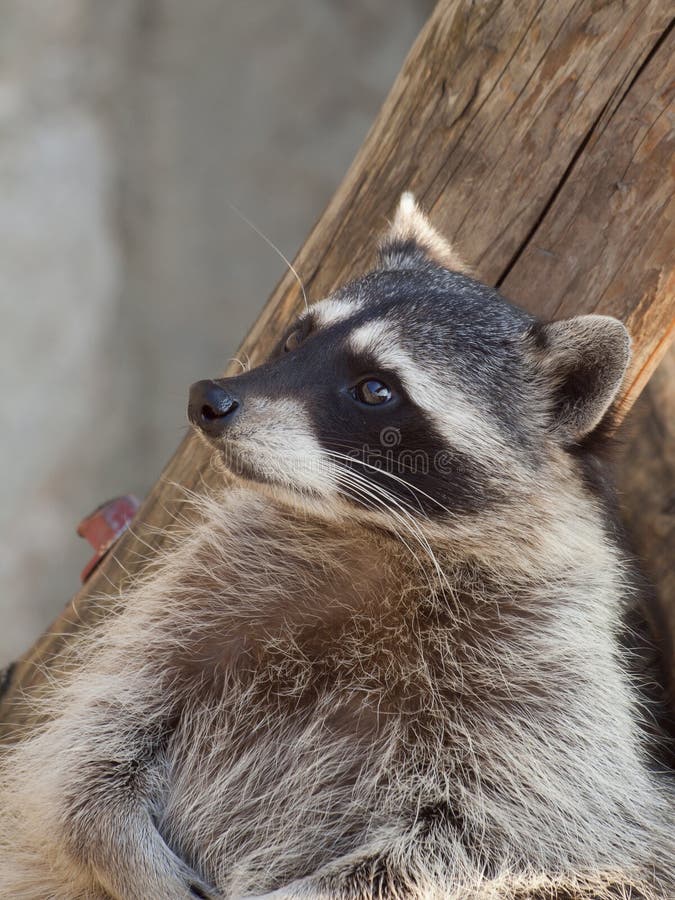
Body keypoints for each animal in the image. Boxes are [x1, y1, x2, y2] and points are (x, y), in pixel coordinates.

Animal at [0, 194, 673, 899]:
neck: (376, 536)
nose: (207, 398)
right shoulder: (200, 591)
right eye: (298, 337)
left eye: (376, 389)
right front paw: (108, 834)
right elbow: (93, 739)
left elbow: (507, 832)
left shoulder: (550, 680)